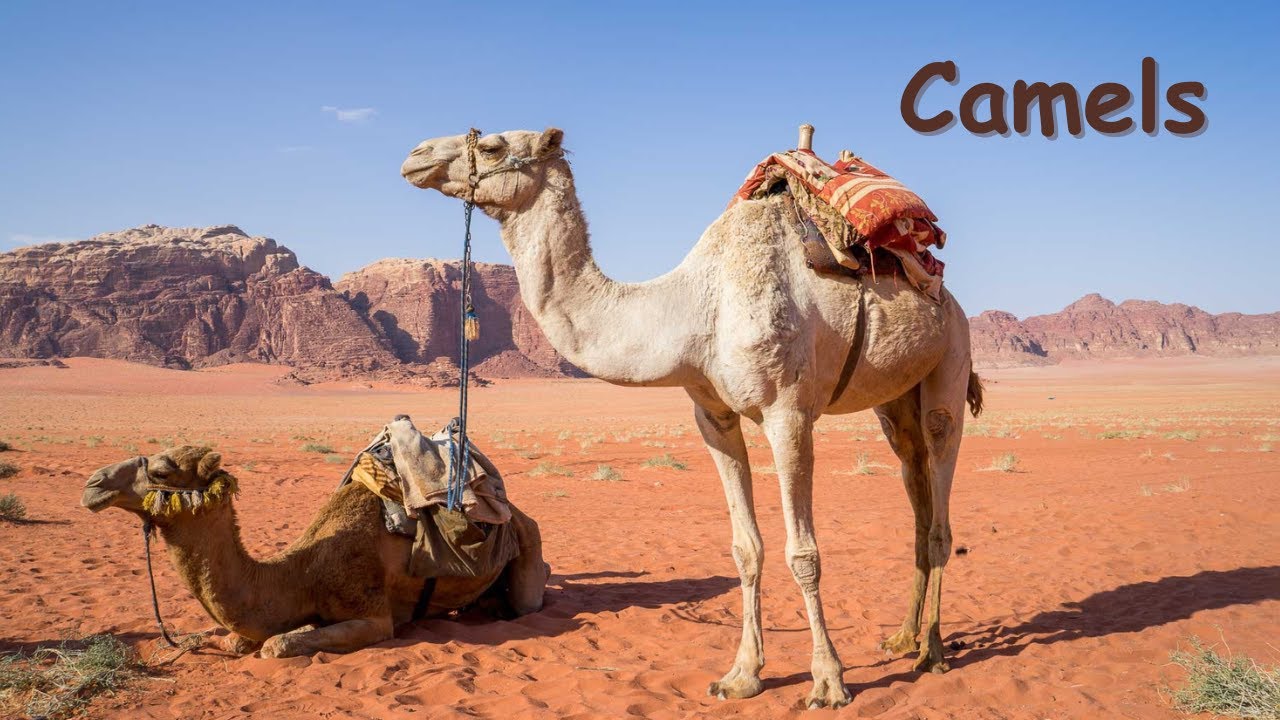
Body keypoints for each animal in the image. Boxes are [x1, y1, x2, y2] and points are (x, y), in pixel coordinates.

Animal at [81, 444, 549, 658]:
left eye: (161, 471)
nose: (93, 484)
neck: (302, 573)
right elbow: (239, 639)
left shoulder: (375, 617)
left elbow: (276, 645)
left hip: (527, 537)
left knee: (530, 596)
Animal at [400, 128, 983, 709]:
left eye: (493, 146)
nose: (415, 156)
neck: (694, 310)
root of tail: (945, 294)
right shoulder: (713, 416)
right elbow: (746, 549)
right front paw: (742, 675)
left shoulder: (788, 413)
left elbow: (803, 553)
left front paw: (828, 681)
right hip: (894, 400)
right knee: (914, 488)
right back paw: (902, 637)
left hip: (950, 361)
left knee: (939, 499)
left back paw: (932, 651)